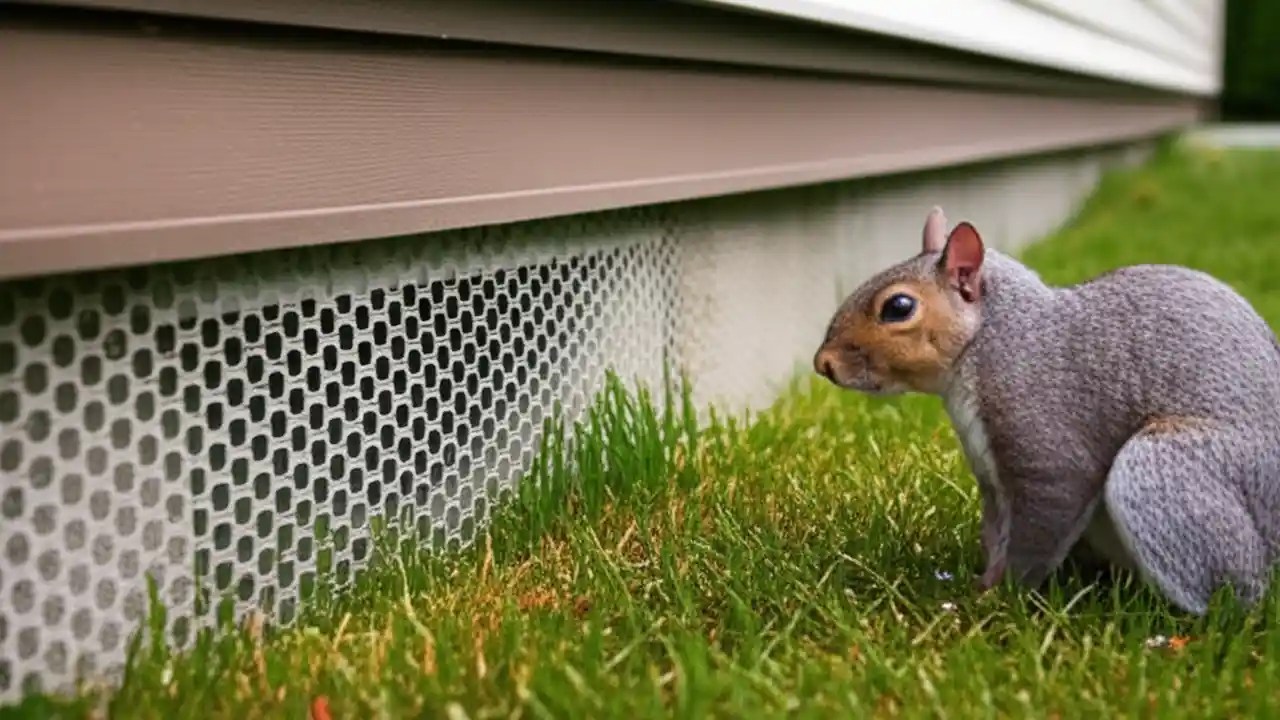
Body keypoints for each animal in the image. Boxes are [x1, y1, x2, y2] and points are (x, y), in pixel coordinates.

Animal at [813, 206, 1280, 615]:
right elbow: (996, 532)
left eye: (899, 307)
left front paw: (998, 600)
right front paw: (980, 584)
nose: (823, 364)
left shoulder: (1046, 439)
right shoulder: (992, 476)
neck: (991, 340)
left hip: (1165, 474)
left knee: (1235, 594)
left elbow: (1040, 525)